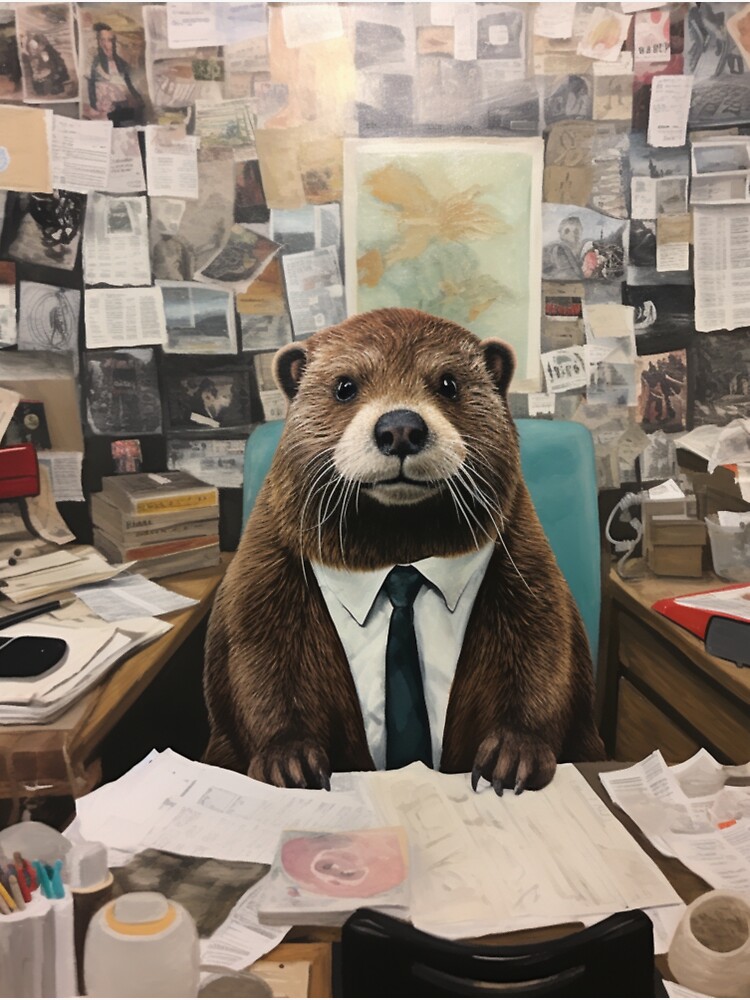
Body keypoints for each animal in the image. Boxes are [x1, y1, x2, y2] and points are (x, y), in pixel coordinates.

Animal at [203, 308, 605, 794]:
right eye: (344, 386)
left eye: (449, 383)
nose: (400, 427)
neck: (398, 555)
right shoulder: (267, 564)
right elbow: (257, 661)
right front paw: (290, 760)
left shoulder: (525, 559)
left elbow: (542, 651)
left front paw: (513, 754)